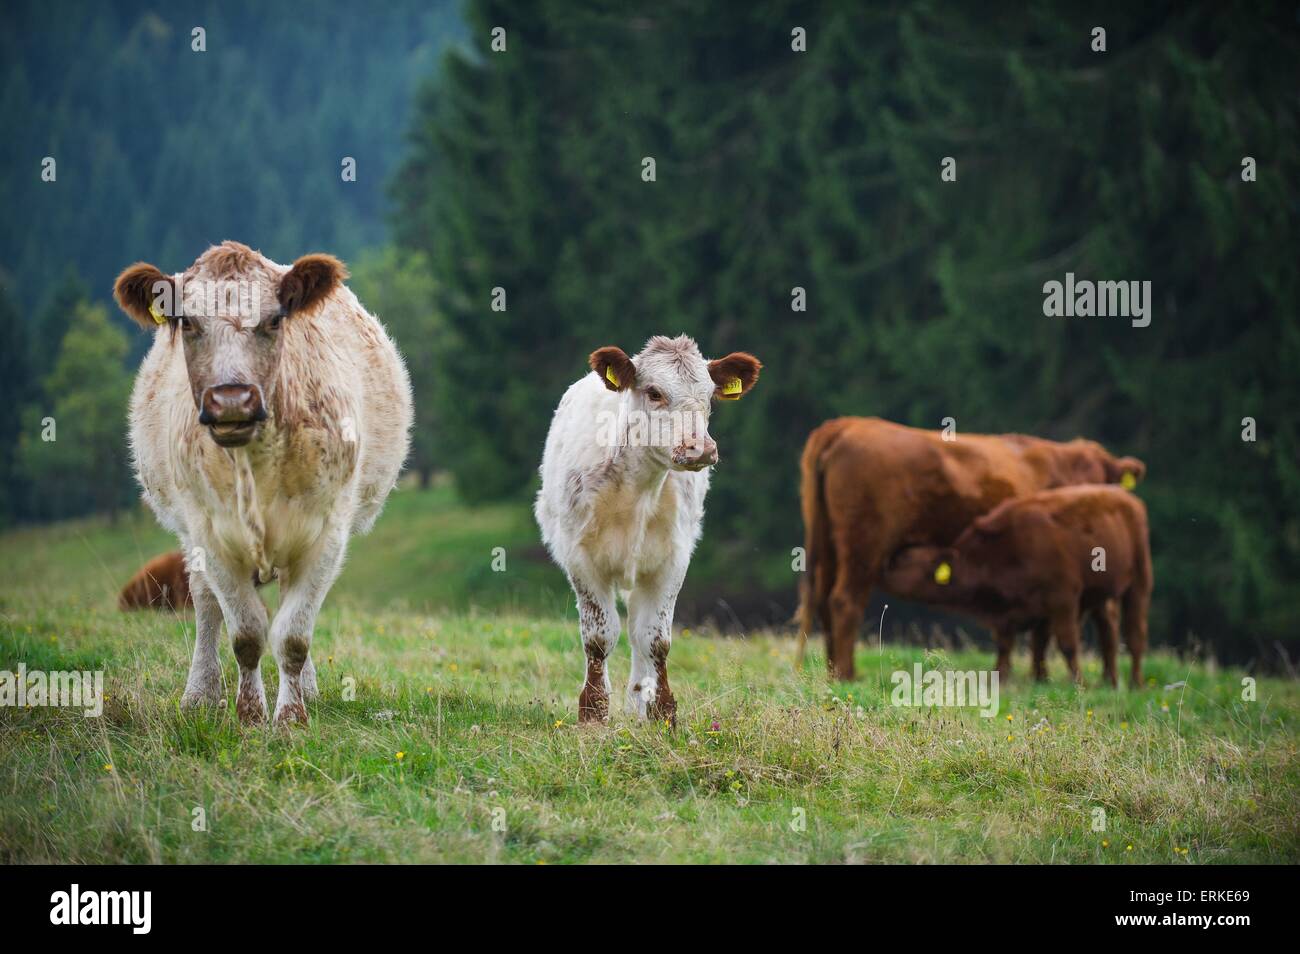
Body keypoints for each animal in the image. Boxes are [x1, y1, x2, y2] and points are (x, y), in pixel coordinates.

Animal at [114, 241, 411, 724]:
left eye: (274, 319)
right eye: (188, 322)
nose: (231, 400)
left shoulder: (326, 532)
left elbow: (292, 634)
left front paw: (290, 717)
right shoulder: (210, 536)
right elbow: (247, 633)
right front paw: (250, 714)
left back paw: (305, 689)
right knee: (206, 604)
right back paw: (200, 693)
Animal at [535, 335, 761, 726]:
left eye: (709, 396)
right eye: (655, 392)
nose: (700, 448)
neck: (637, 487)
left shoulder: (672, 560)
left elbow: (655, 638)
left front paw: (662, 710)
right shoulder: (580, 558)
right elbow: (599, 636)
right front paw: (593, 710)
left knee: (638, 630)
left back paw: (639, 700)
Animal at [879, 486, 1152, 687]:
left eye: (904, 560)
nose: (886, 563)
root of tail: (1127, 498)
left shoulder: (1063, 598)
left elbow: (1065, 643)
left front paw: (1078, 682)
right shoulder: (1019, 611)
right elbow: (1017, 643)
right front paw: (1010, 678)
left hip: (1139, 582)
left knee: (1135, 633)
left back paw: (1135, 682)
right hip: (1100, 596)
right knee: (1109, 632)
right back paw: (1110, 681)